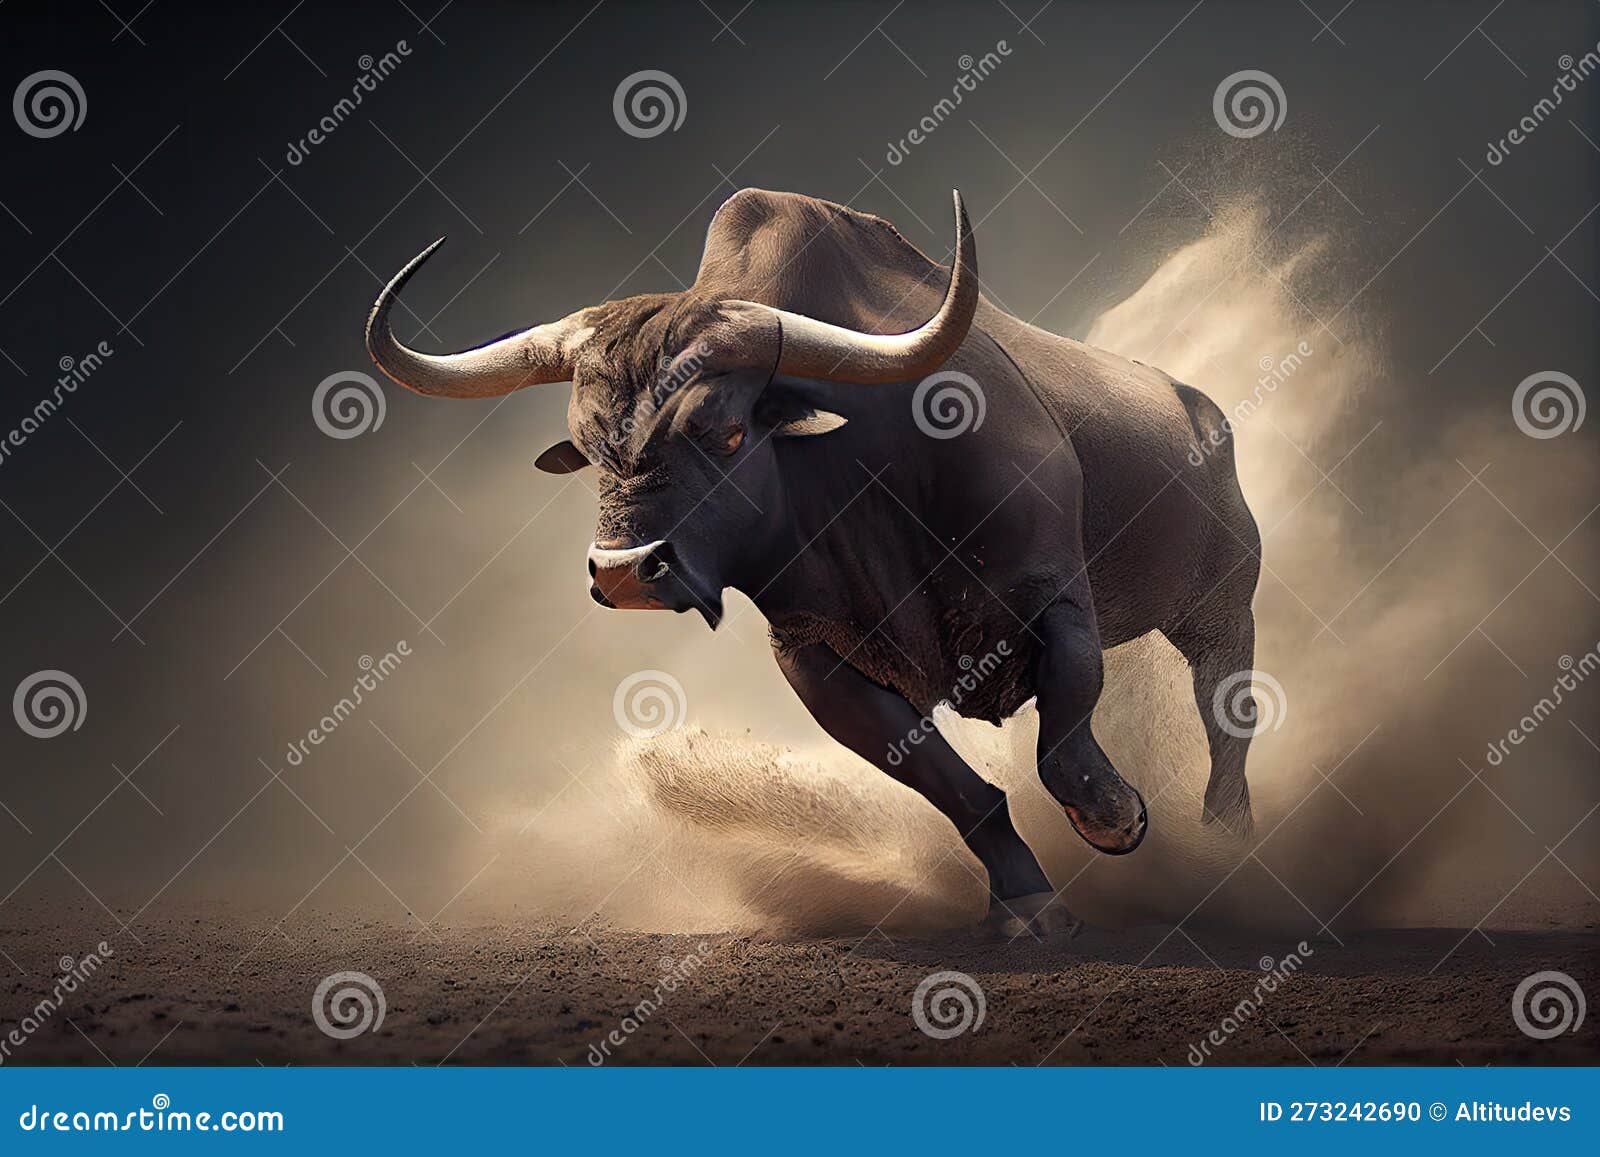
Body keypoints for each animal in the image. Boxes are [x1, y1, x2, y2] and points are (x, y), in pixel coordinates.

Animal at [366, 188, 1262, 938]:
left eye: (726, 432)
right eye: (588, 447)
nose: (624, 570)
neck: (863, 477)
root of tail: (1200, 410)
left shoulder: (1058, 603)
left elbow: (1063, 746)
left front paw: (1116, 816)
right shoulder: (819, 661)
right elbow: (960, 790)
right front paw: (1026, 902)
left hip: (1224, 610)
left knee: (1228, 718)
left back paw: (1230, 841)